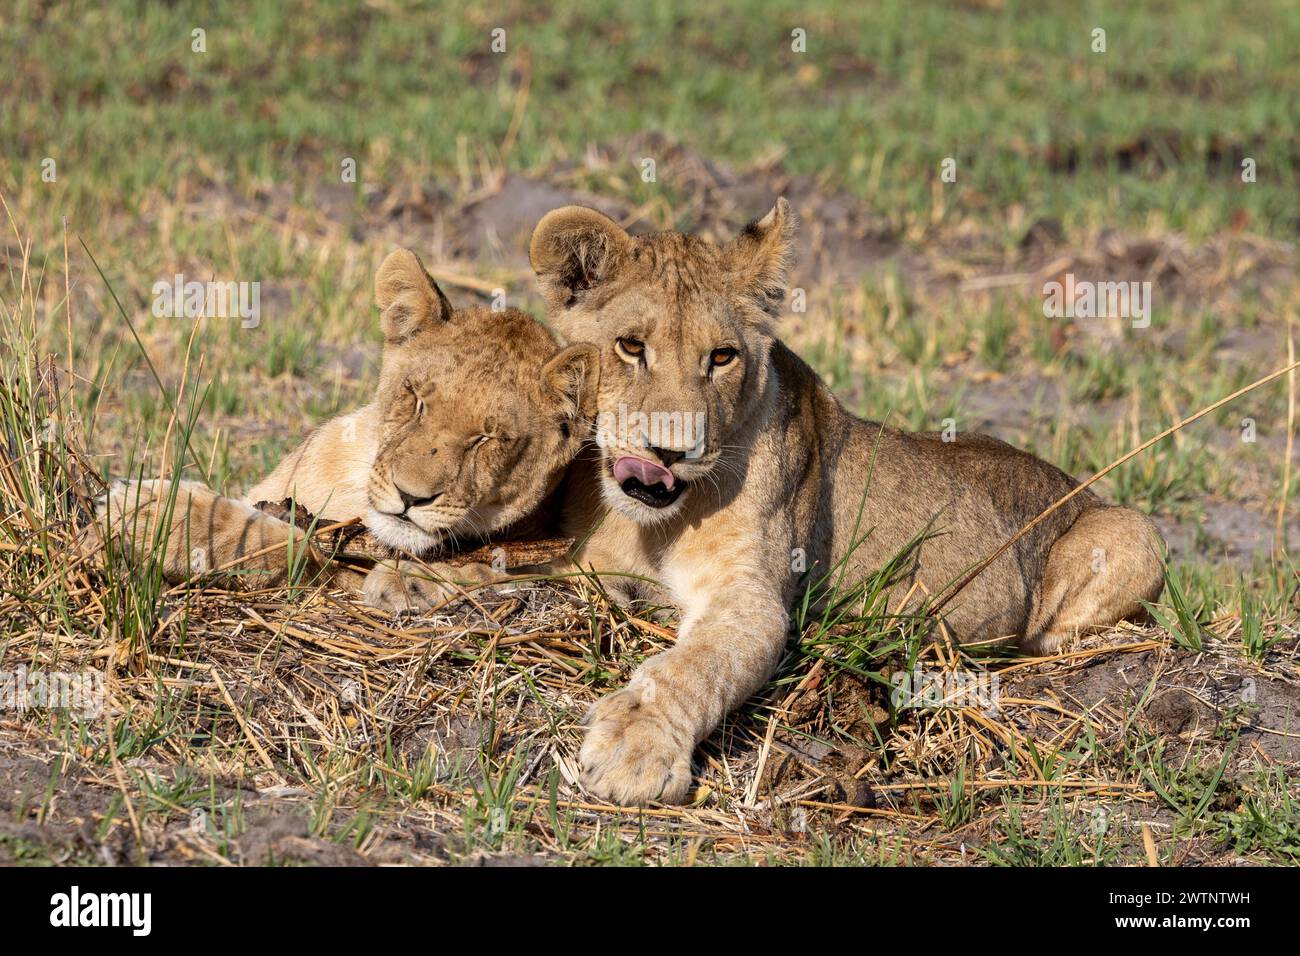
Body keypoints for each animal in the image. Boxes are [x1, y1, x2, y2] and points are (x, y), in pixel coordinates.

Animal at [517, 199, 1166, 805]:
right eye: (631, 347)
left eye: (722, 357)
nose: (672, 452)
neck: (641, 524)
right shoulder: (586, 560)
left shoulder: (754, 598)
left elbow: (693, 668)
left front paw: (637, 746)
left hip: (1134, 532)